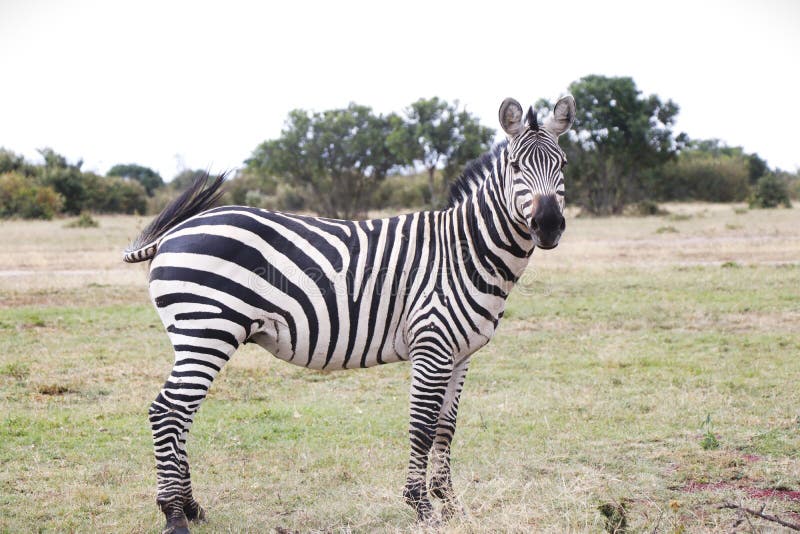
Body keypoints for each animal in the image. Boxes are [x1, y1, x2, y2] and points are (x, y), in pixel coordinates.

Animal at [124, 95, 575, 533]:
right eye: (515, 166)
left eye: (564, 165)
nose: (549, 224)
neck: (464, 251)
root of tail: (175, 232)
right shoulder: (432, 345)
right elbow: (423, 425)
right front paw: (422, 506)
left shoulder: (460, 353)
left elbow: (446, 427)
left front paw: (452, 506)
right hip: (207, 331)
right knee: (167, 412)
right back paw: (174, 516)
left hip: (199, 337)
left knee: (182, 414)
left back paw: (193, 508)